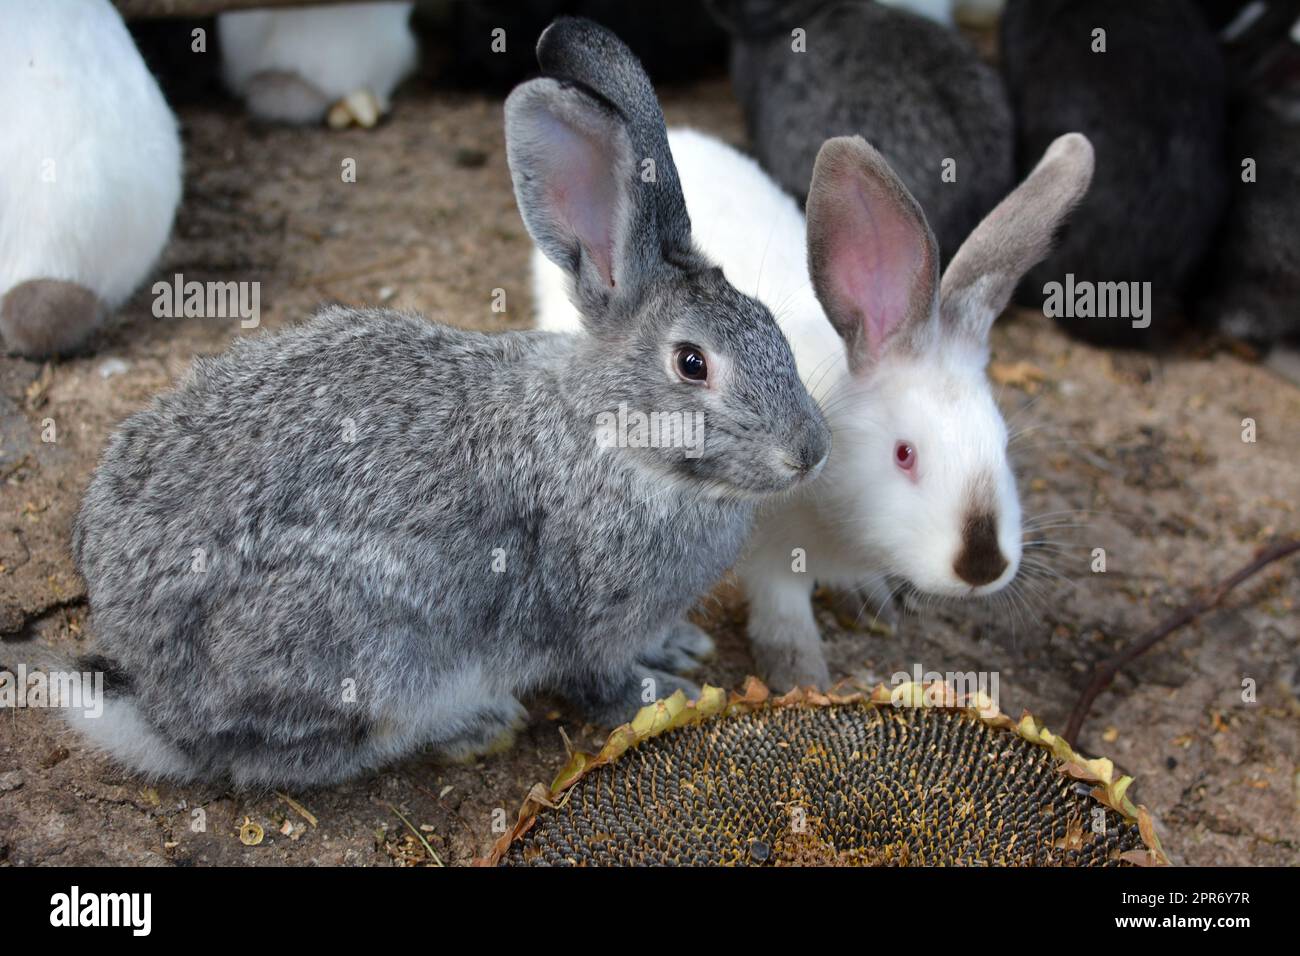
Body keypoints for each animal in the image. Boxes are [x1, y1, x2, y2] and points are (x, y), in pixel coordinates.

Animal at [67, 18, 830, 787]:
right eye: (692, 363)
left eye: (771, 324)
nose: (810, 451)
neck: (613, 437)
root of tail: (158, 702)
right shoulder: (585, 621)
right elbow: (599, 682)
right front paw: (669, 693)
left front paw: (681, 647)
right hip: (366, 648)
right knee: (304, 753)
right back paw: (474, 723)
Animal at [536, 127, 1094, 690]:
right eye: (905, 454)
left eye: (1003, 446)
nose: (981, 568)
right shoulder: (770, 549)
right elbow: (782, 608)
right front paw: (799, 673)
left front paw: (870, 604)